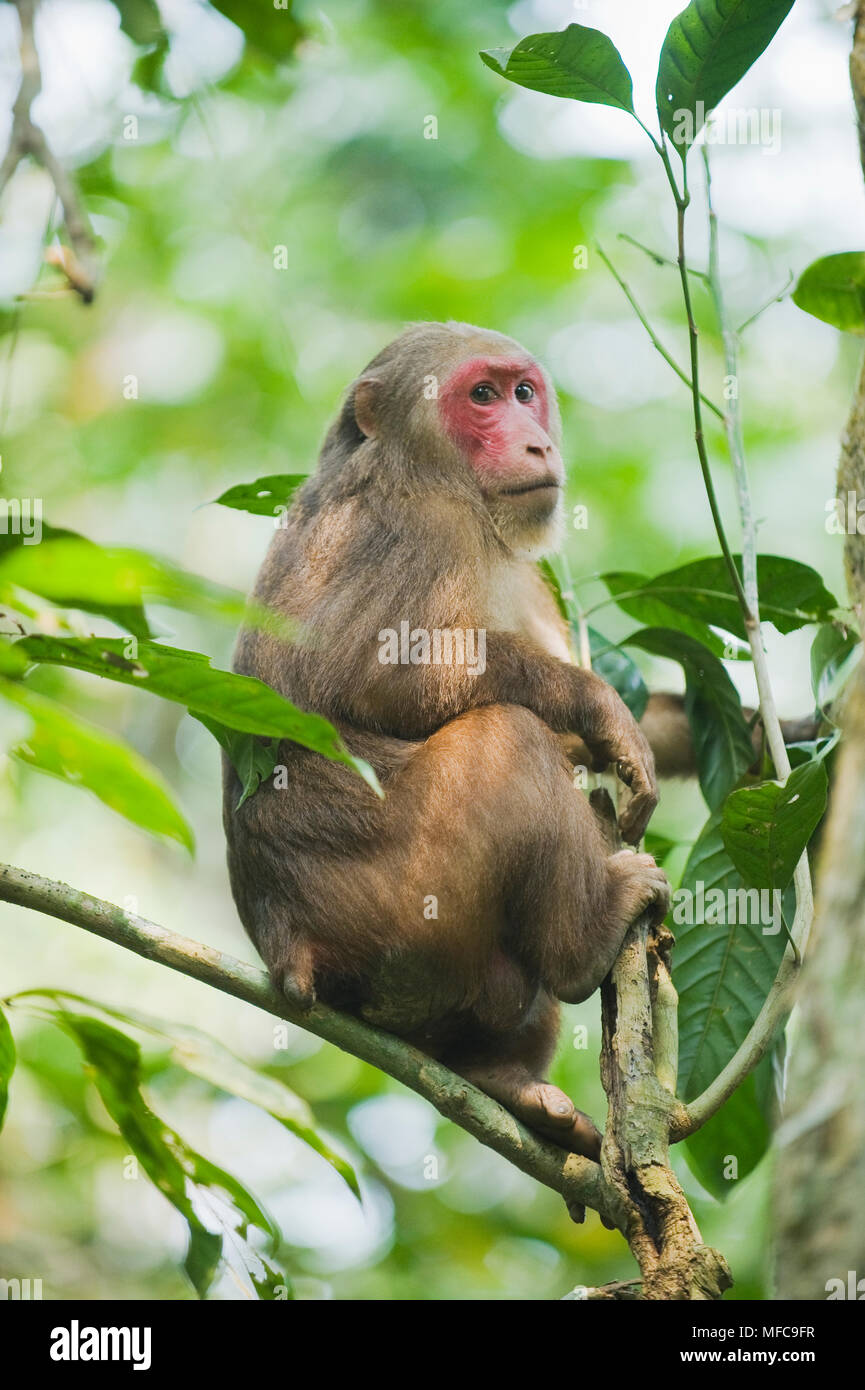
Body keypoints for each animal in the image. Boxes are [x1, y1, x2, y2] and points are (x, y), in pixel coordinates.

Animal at [222, 321, 812, 1162]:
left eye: (523, 392)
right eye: (481, 396)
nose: (535, 443)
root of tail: (287, 945)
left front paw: (788, 730)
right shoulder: (423, 522)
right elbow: (380, 680)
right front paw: (597, 707)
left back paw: (504, 1079)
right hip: (397, 900)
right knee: (506, 733)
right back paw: (582, 944)